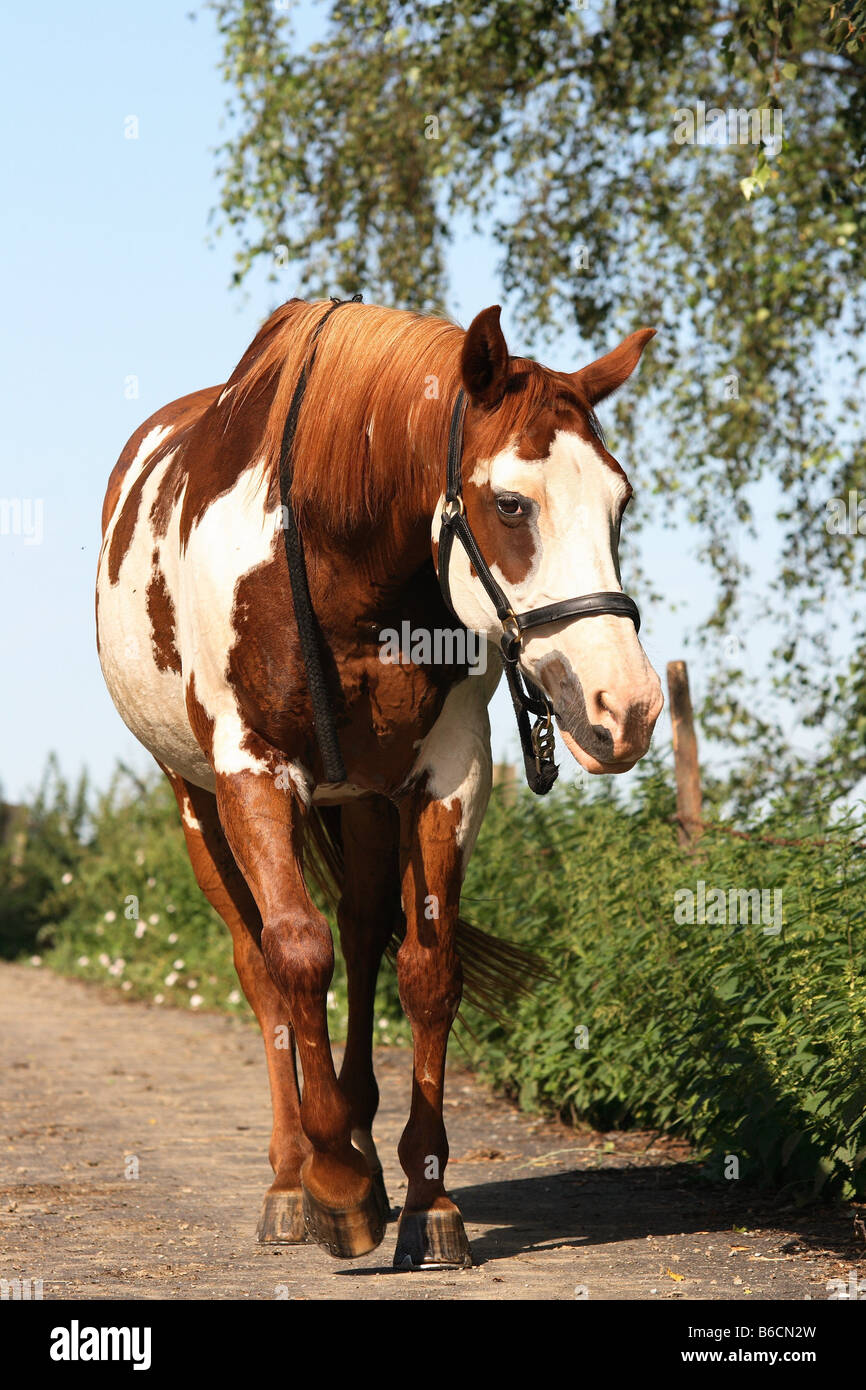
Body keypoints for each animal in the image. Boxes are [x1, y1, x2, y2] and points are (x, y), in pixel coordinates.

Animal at [95, 297, 663, 1269]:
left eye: (619, 501)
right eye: (511, 503)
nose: (623, 708)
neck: (336, 565)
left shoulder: (448, 776)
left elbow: (425, 970)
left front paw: (427, 1197)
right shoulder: (249, 774)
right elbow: (293, 952)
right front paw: (337, 1185)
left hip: (359, 802)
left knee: (362, 937)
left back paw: (361, 1136)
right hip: (194, 800)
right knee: (259, 964)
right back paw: (295, 1178)